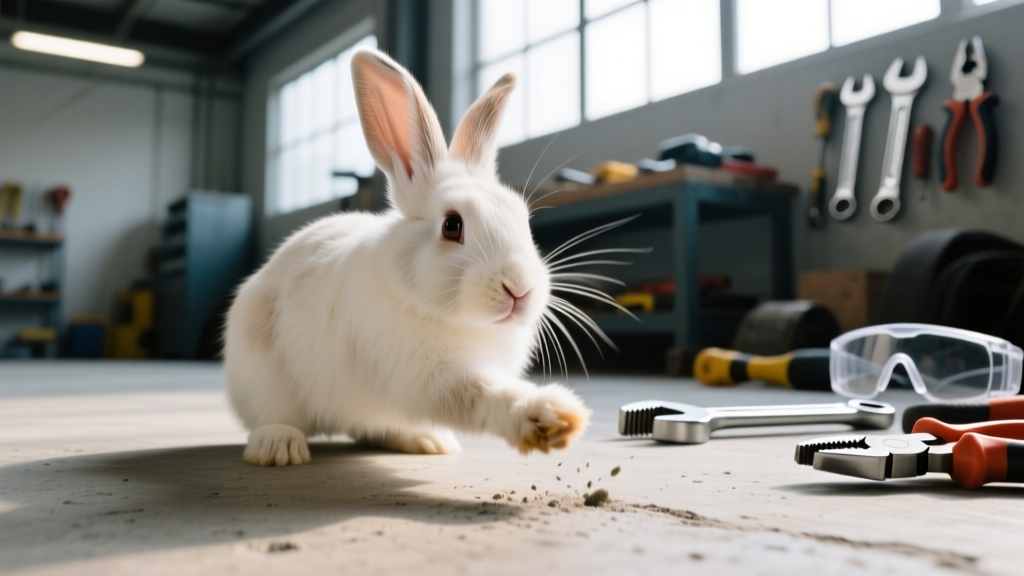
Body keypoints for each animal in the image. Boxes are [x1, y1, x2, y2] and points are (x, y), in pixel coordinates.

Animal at [223, 48, 591, 466]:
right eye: (452, 225)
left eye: (523, 218)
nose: (520, 289)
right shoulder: (427, 377)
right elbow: (479, 393)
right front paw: (550, 413)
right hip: (263, 374)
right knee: (270, 418)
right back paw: (280, 448)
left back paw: (427, 440)